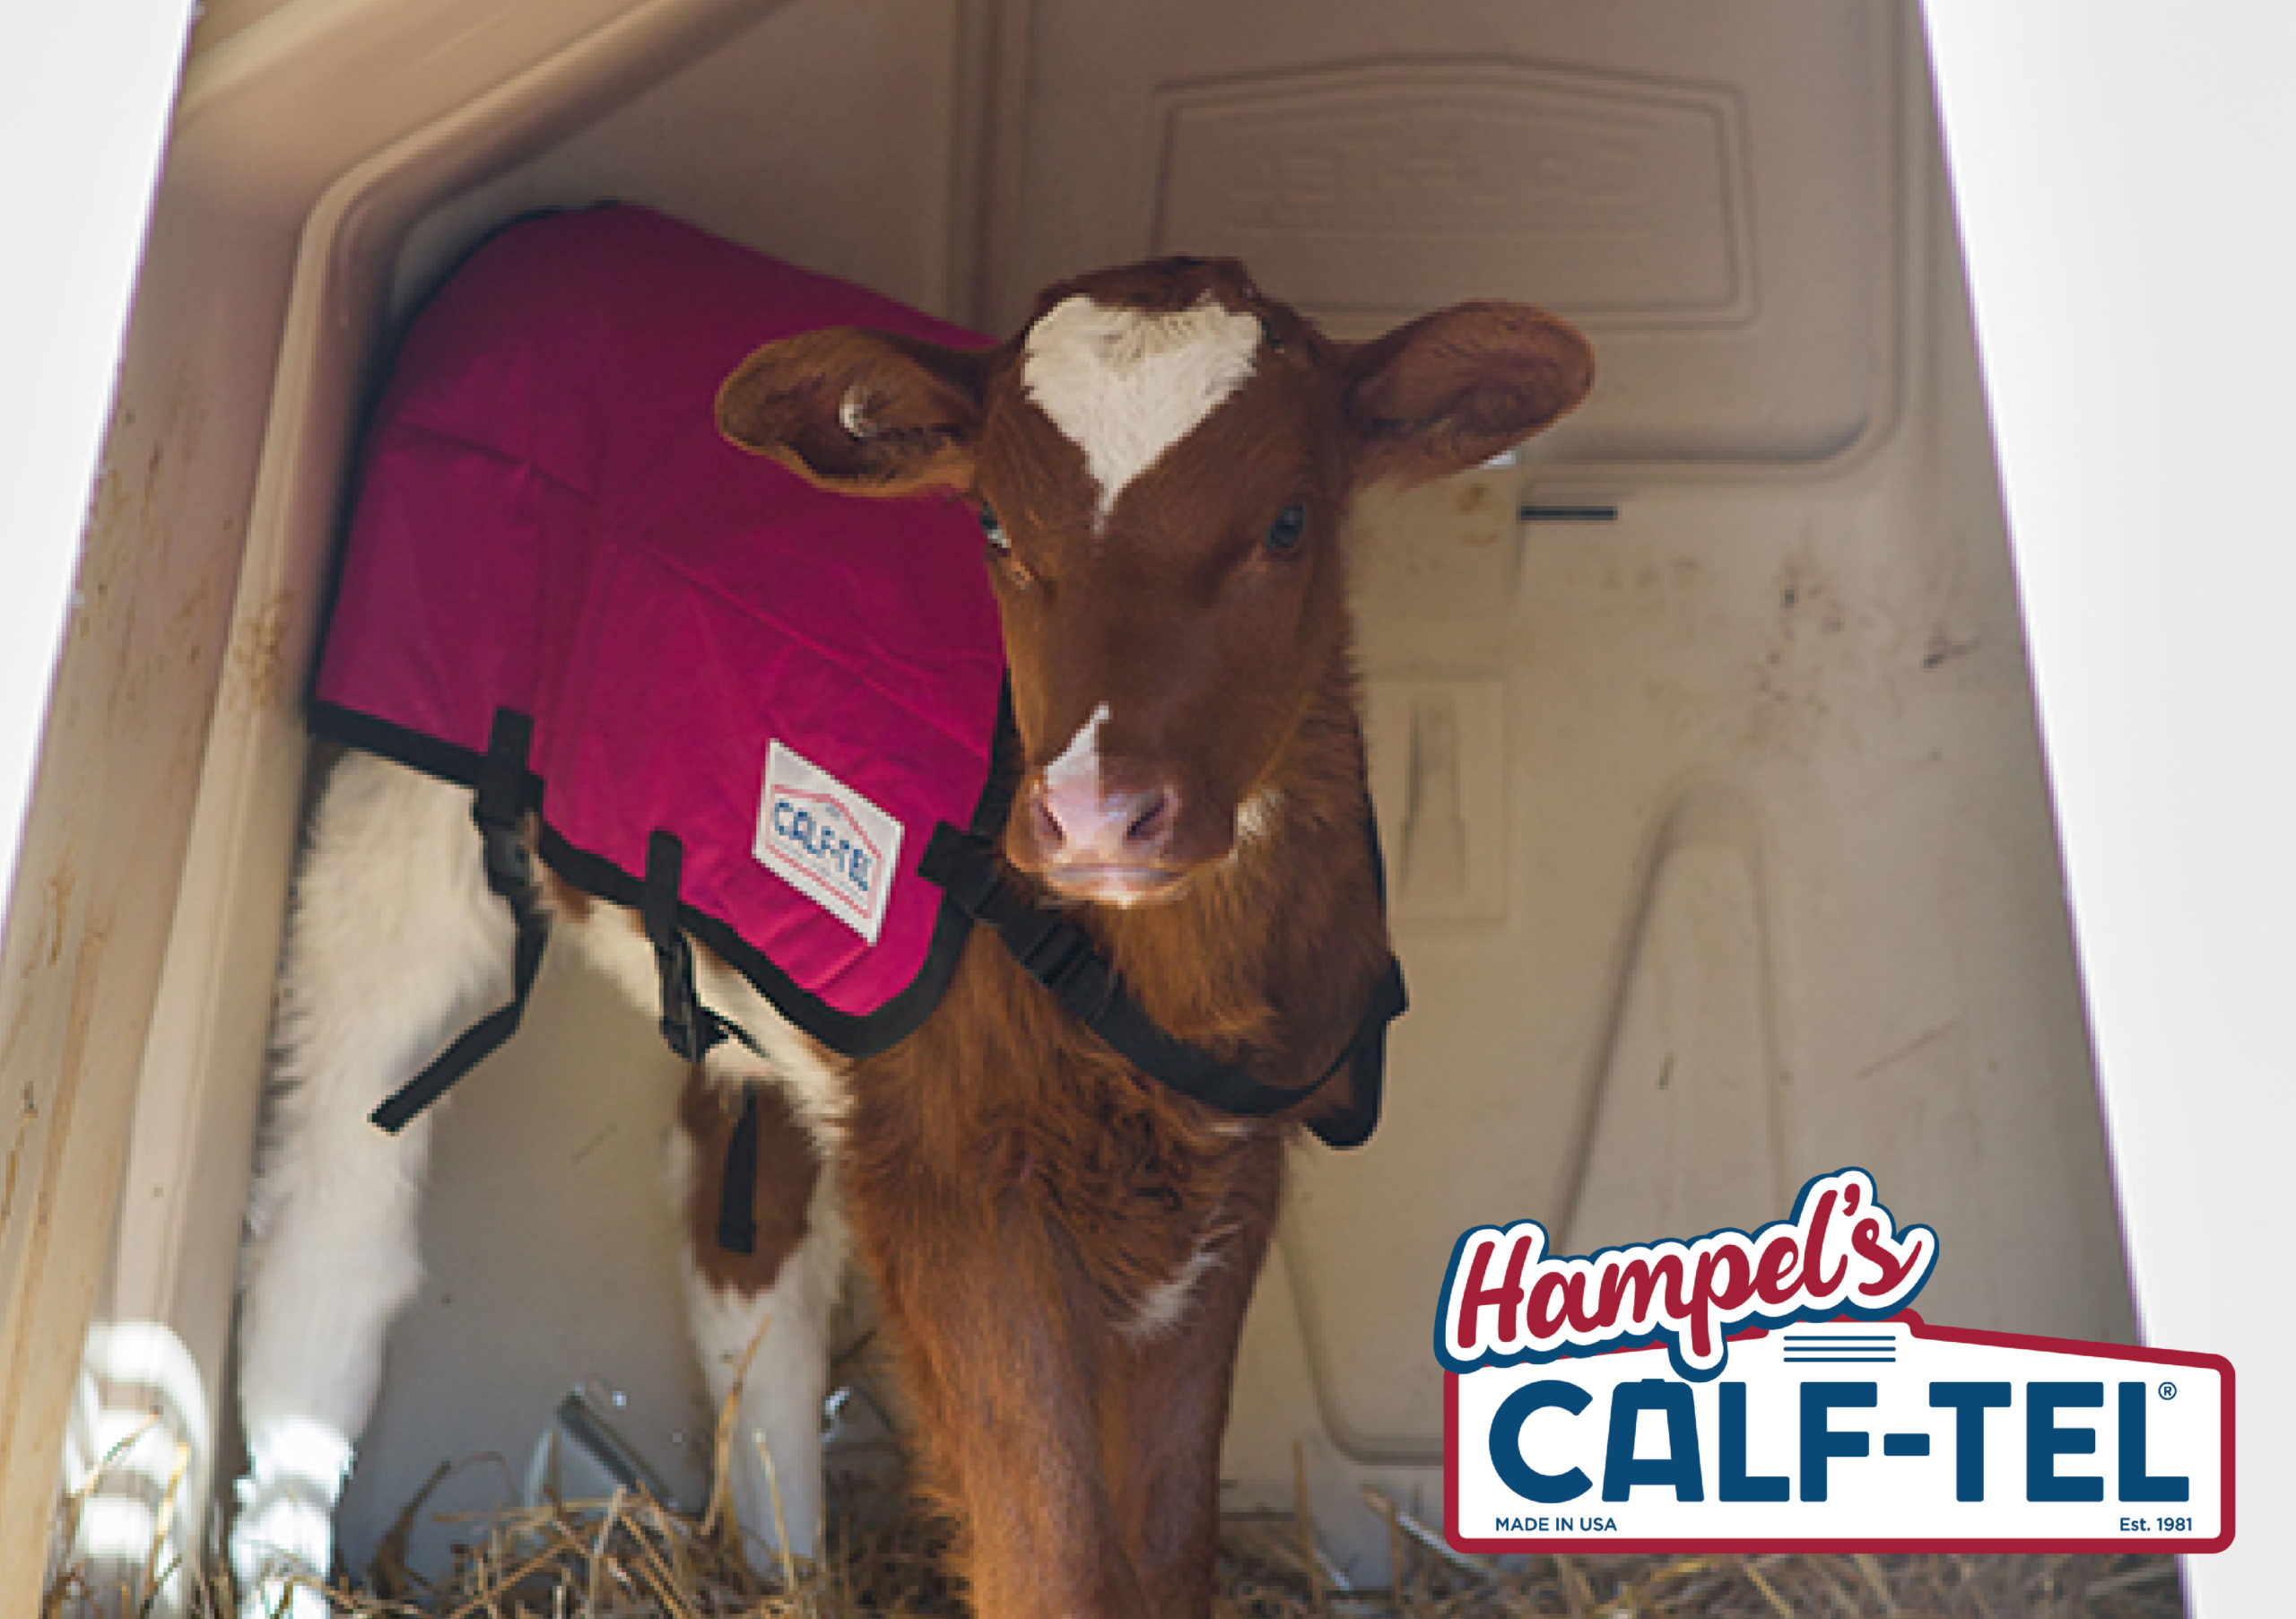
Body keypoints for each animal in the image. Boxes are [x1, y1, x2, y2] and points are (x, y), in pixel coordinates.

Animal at [227, 240, 1591, 1618]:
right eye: (990, 525)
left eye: (1290, 522)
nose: (1098, 811)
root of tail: (546, 233)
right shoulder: (955, 1167)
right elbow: (1052, 1554)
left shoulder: (1224, 1163)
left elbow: (1165, 1540)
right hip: (403, 815)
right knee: (331, 1220)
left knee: (742, 1215)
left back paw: (790, 1567)